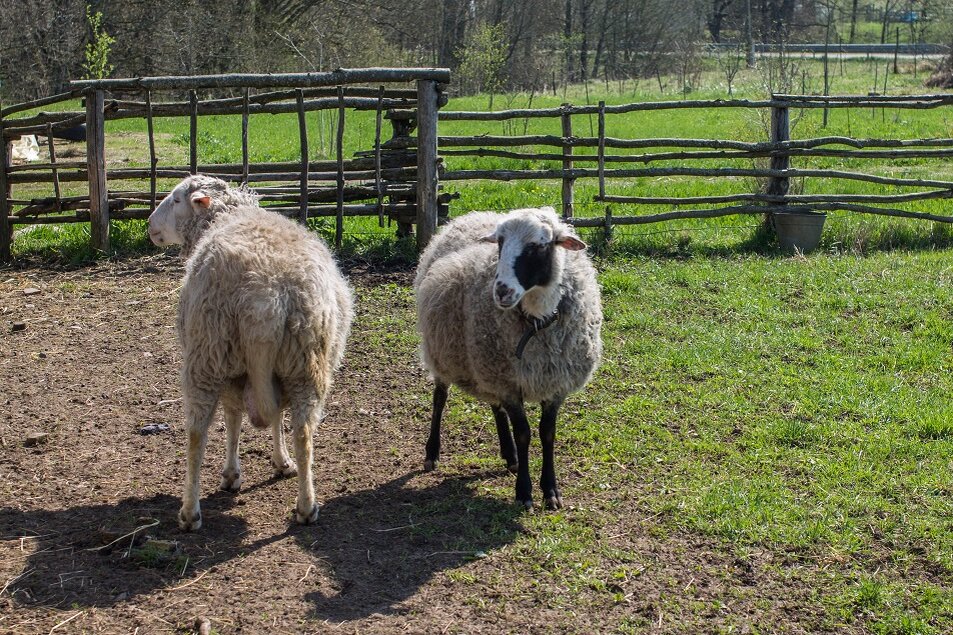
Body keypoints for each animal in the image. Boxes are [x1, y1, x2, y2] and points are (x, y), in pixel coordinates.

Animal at [414, 209, 604, 512]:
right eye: (500, 243)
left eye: (539, 245)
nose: (501, 290)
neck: (537, 321)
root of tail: (473, 214)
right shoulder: (510, 384)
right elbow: (524, 433)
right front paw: (524, 492)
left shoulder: (554, 385)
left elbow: (547, 433)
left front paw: (551, 490)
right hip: (444, 350)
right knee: (439, 398)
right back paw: (432, 452)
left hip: (487, 363)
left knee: (495, 405)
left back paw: (510, 455)